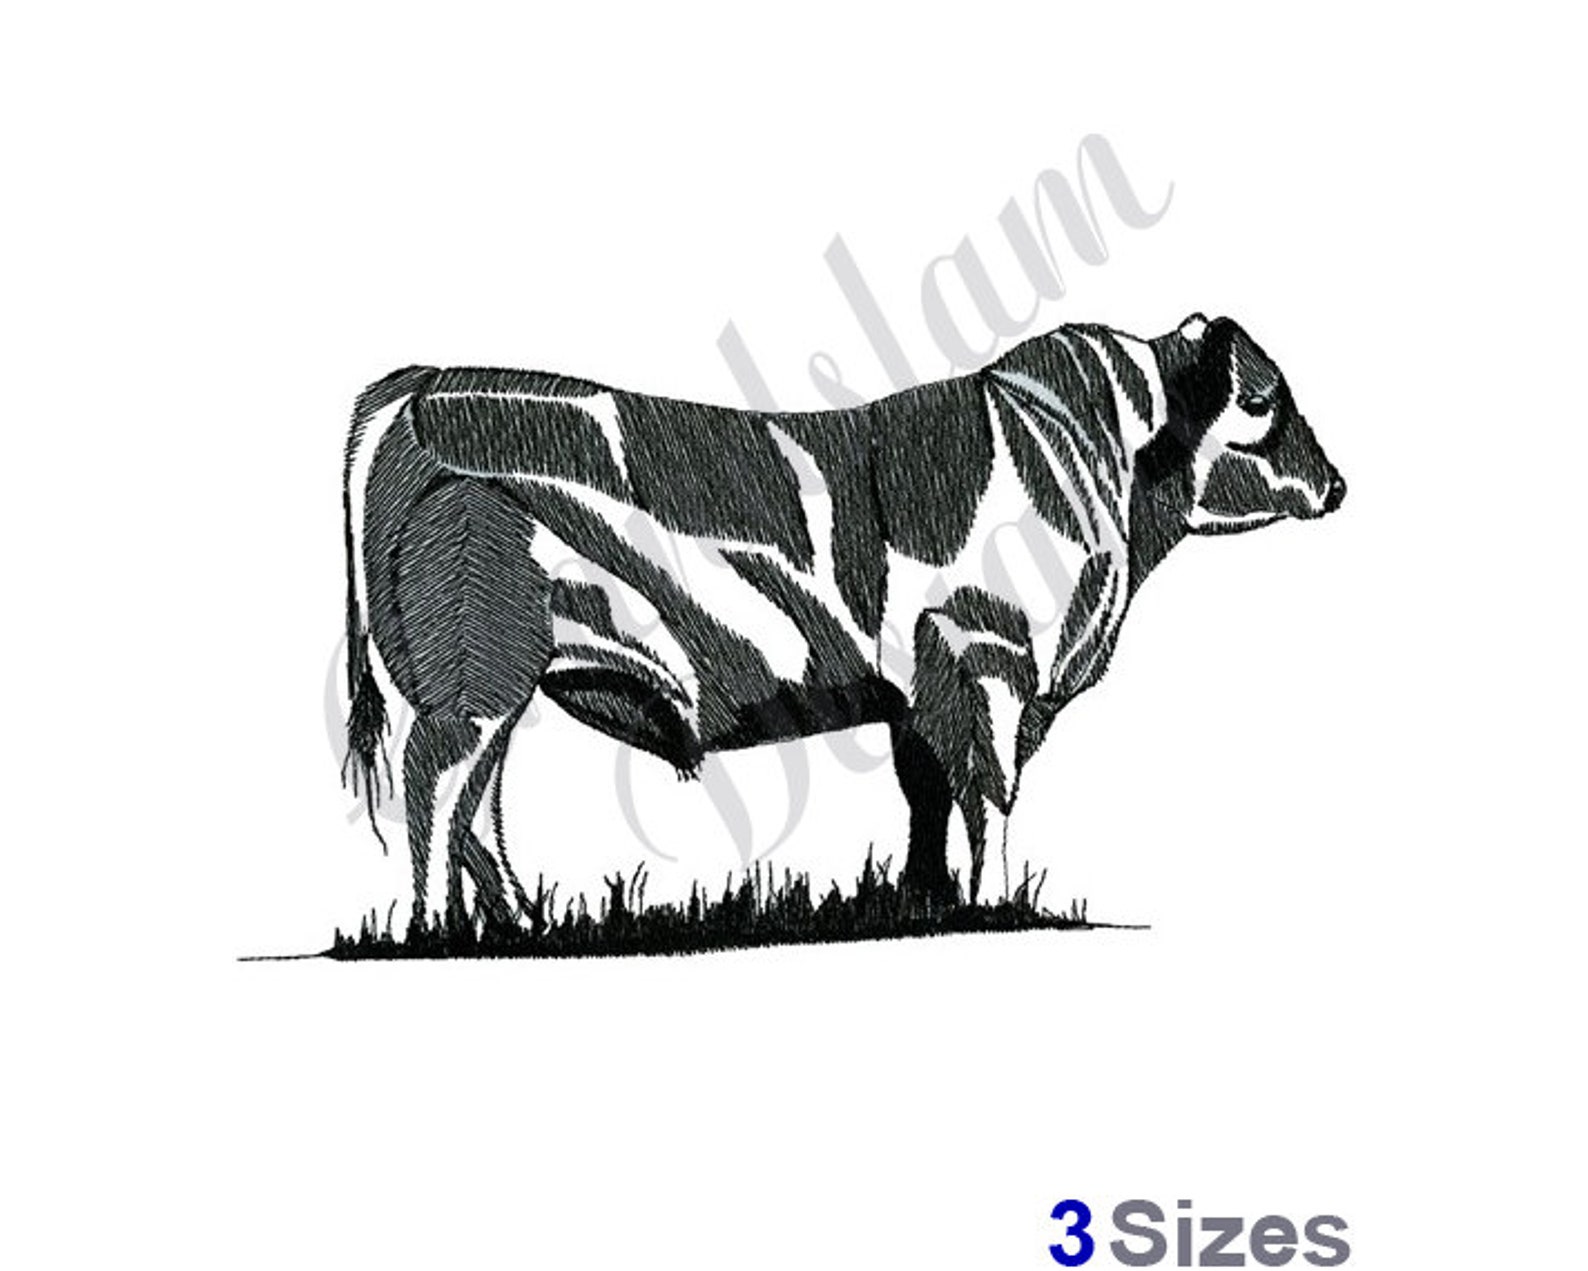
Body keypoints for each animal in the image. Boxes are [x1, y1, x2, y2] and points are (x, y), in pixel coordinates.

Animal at [340, 313, 1344, 936]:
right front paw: (995, 902)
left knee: (478, 805)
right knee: (438, 788)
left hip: (501, 677)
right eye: (1263, 401)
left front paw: (928, 899)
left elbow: (929, 792)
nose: (1338, 482)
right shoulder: (986, 652)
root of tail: (424, 383)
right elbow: (990, 787)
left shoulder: (922, 688)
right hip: (476, 676)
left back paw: (518, 919)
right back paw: (435, 929)